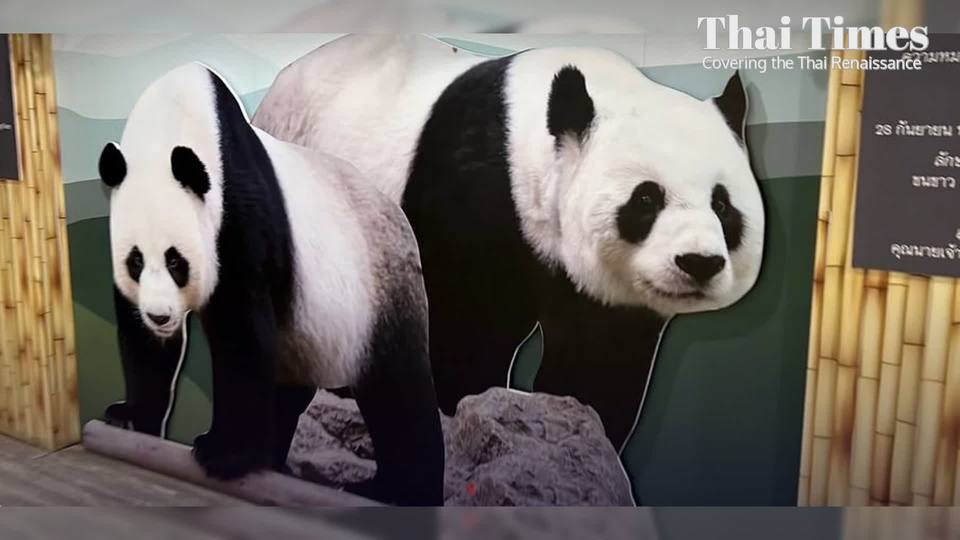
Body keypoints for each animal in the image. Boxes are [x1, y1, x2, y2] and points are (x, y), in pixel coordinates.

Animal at [97, 62, 444, 506]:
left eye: (177, 262)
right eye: (136, 261)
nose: (160, 316)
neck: (171, 122)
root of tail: (402, 221)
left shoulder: (236, 212)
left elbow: (240, 332)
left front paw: (223, 453)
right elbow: (142, 342)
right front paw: (130, 417)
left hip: (381, 295)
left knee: (398, 396)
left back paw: (399, 489)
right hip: (306, 338)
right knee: (288, 394)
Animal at [253, 35, 765, 450]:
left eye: (722, 205)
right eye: (646, 198)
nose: (698, 263)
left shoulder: (604, 292)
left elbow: (599, 356)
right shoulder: (470, 193)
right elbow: (462, 326)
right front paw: (469, 416)